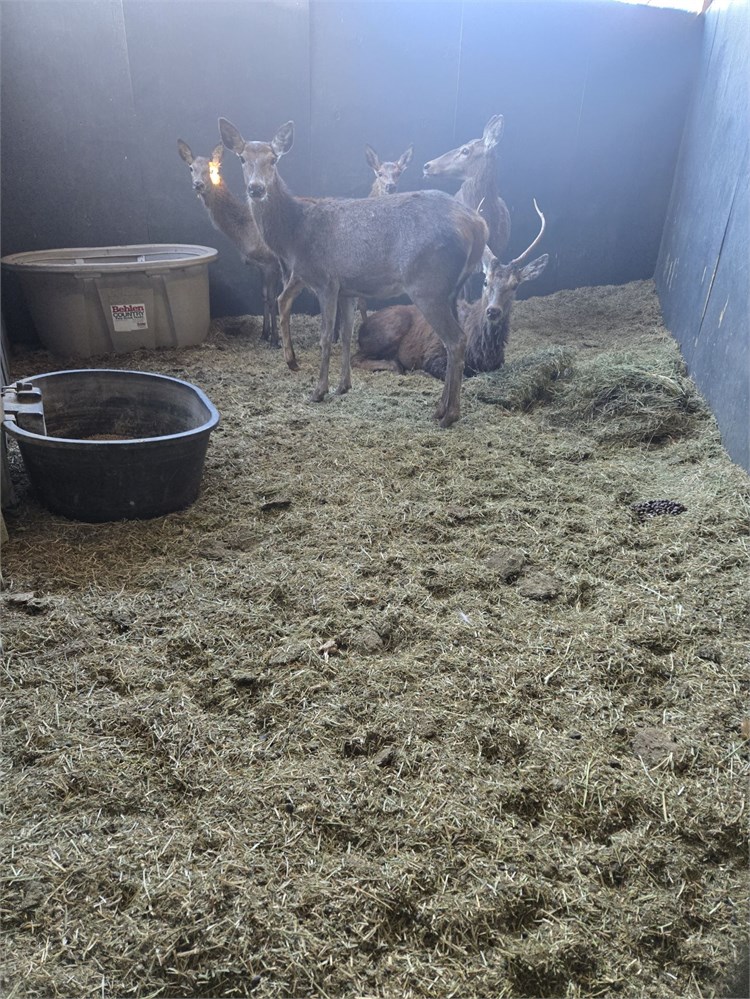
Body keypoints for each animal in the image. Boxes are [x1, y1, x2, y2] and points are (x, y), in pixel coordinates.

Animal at [177, 139, 283, 345]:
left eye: (211, 168)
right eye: (191, 168)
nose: (198, 184)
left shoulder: (271, 263)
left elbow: (273, 299)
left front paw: (275, 339)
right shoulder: (260, 266)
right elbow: (264, 296)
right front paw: (264, 335)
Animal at [219, 118, 487, 428]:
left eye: (273, 159)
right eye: (242, 158)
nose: (256, 189)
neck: (295, 234)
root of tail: (478, 225)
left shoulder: (325, 281)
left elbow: (326, 336)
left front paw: (318, 391)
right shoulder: (347, 288)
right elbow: (346, 335)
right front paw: (343, 386)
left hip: (427, 284)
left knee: (455, 340)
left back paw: (449, 414)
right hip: (451, 289)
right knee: (451, 339)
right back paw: (440, 408)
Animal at [352, 201, 548, 380]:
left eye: (515, 286)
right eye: (485, 281)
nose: (493, 311)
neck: (480, 351)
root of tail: (362, 328)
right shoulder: (434, 355)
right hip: (388, 332)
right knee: (357, 358)